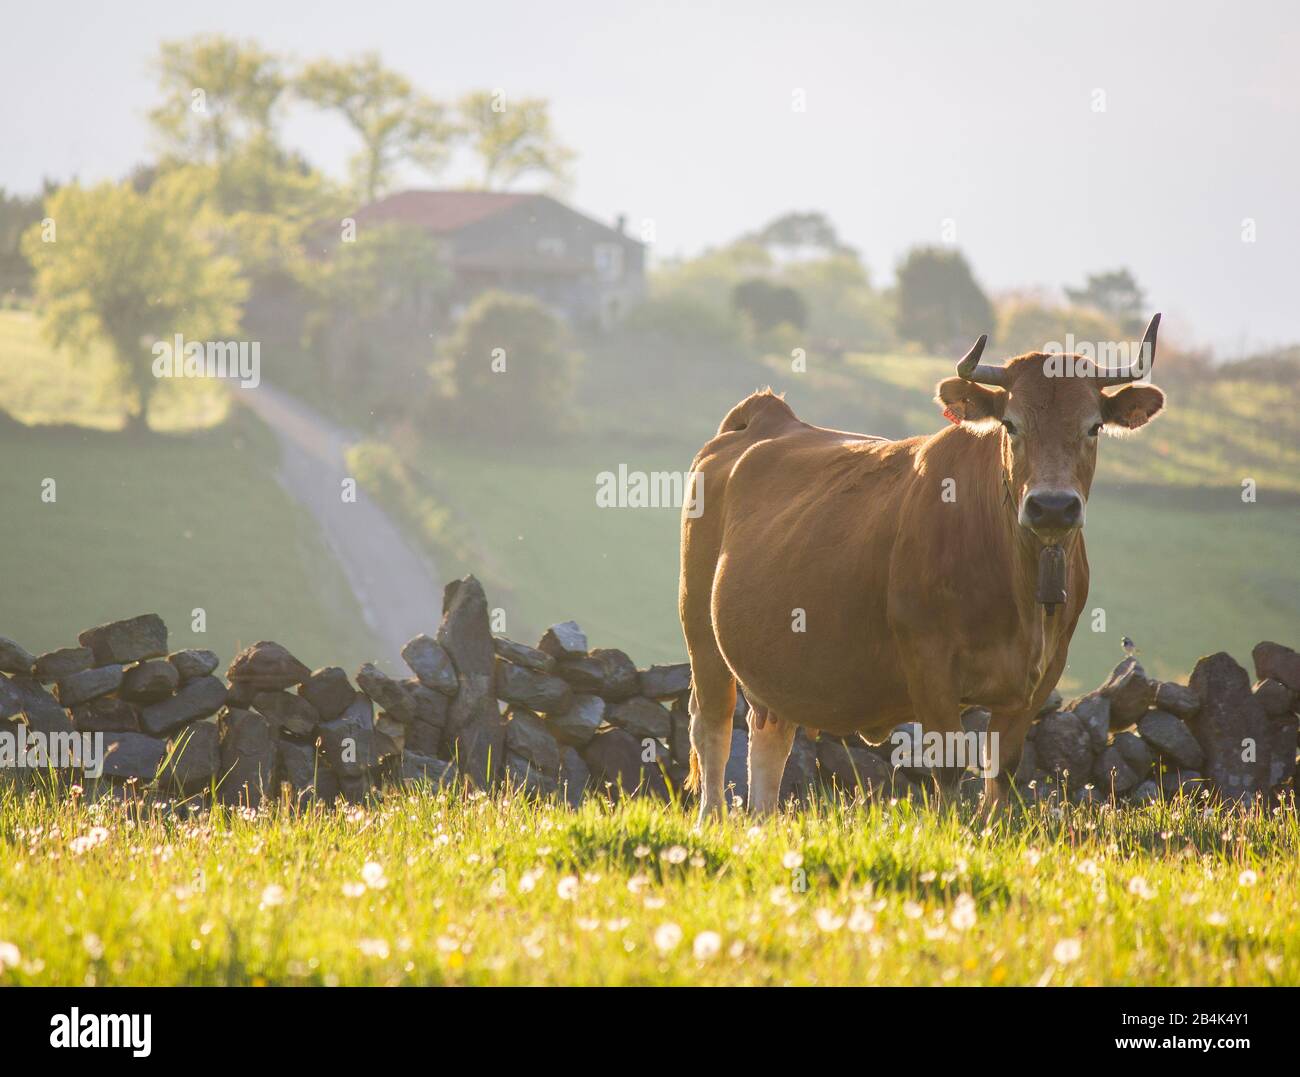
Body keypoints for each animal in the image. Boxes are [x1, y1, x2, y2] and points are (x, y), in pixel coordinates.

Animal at [679, 315, 1166, 819]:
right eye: (1011, 424)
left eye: (1093, 427)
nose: (1052, 506)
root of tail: (768, 416)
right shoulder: (928, 663)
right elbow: (948, 769)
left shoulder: (1041, 673)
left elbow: (1003, 770)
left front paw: (988, 829)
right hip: (701, 631)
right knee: (712, 727)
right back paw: (712, 816)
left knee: (770, 736)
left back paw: (761, 819)